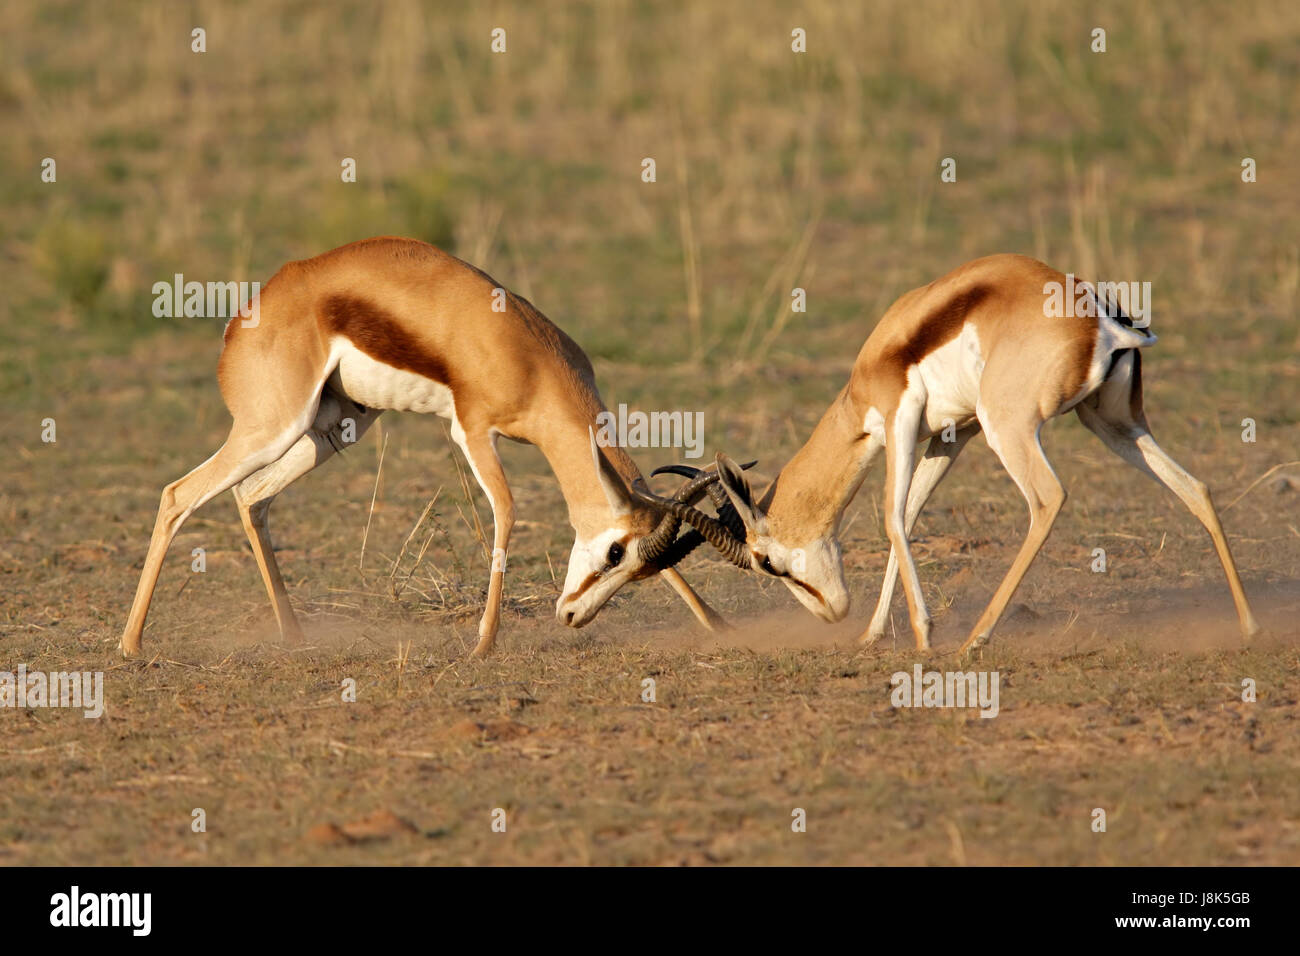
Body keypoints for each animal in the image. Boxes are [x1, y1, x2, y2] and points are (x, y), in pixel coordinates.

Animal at [121, 236, 730, 659]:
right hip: (271, 429)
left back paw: (293, 635)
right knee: (178, 495)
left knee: (251, 498)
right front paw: (483, 645)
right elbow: (507, 512)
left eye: (634, 566)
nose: (573, 617)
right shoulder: (473, 432)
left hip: (333, 428)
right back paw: (131, 645)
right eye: (613, 555)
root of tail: (245, 316)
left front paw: (716, 622)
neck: (530, 359)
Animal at [639, 254, 1260, 654]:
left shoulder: (899, 419)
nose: (830, 613)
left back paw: (975, 638)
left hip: (1011, 427)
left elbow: (891, 517)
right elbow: (911, 516)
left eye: (766, 562)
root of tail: (1103, 320)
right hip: (1112, 423)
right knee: (1195, 488)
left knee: (1048, 499)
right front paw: (872, 634)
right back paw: (1250, 626)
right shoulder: (952, 435)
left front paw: (923, 635)